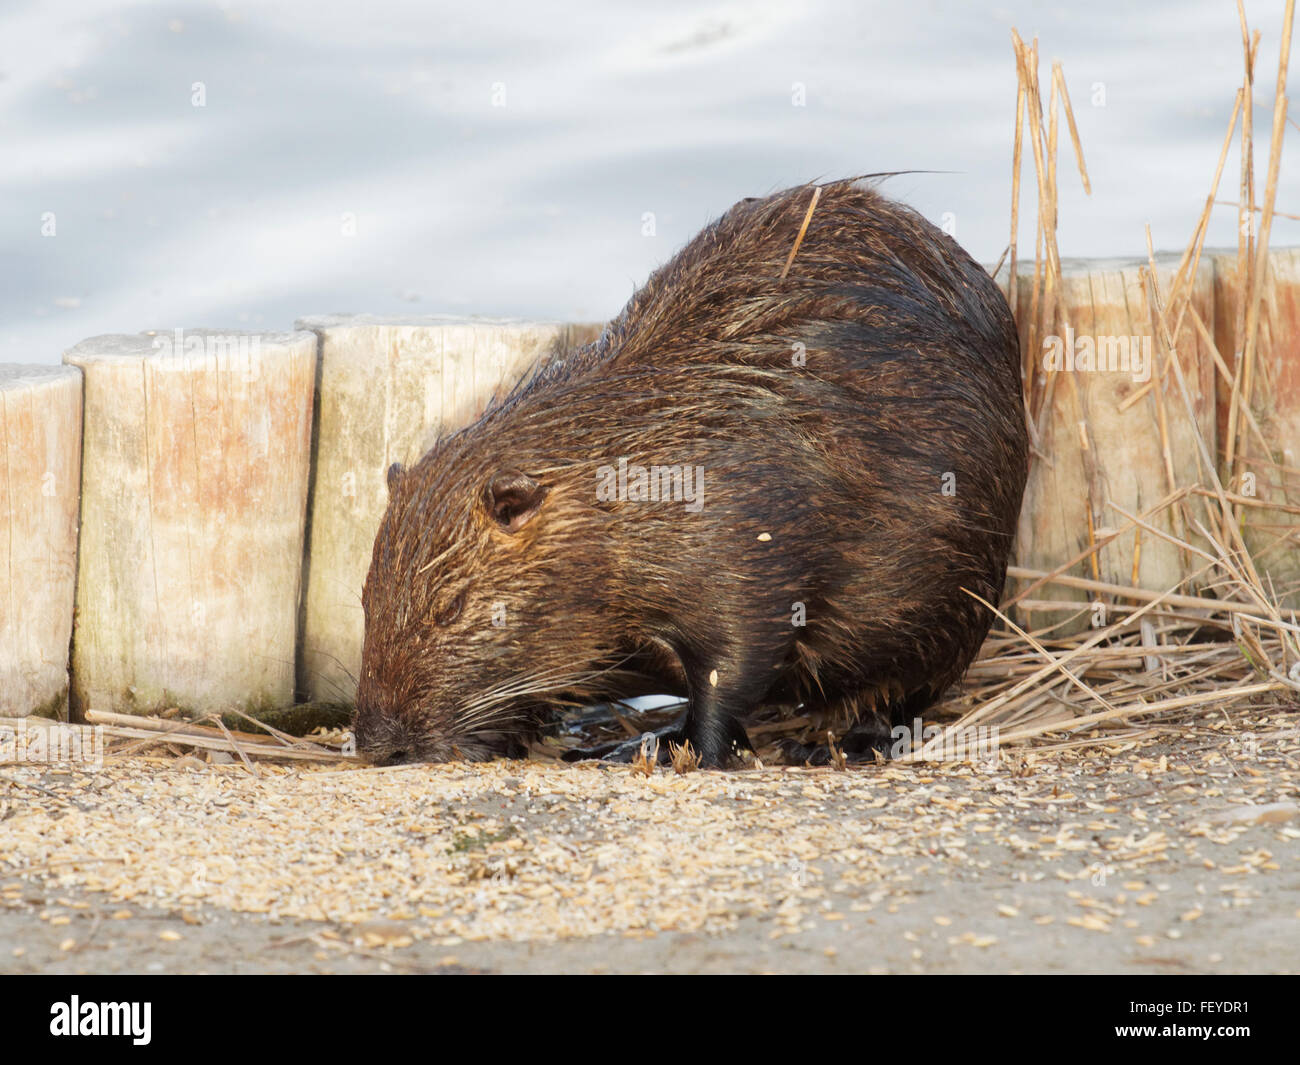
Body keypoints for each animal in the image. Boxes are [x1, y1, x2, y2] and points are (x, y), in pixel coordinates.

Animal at [352, 177, 1028, 768]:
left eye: (450, 606)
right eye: (365, 596)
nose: (380, 743)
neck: (639, 471)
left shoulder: (744, 546)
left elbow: (733, 662)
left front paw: (696, 749)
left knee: (901, 693)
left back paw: (836, 743)